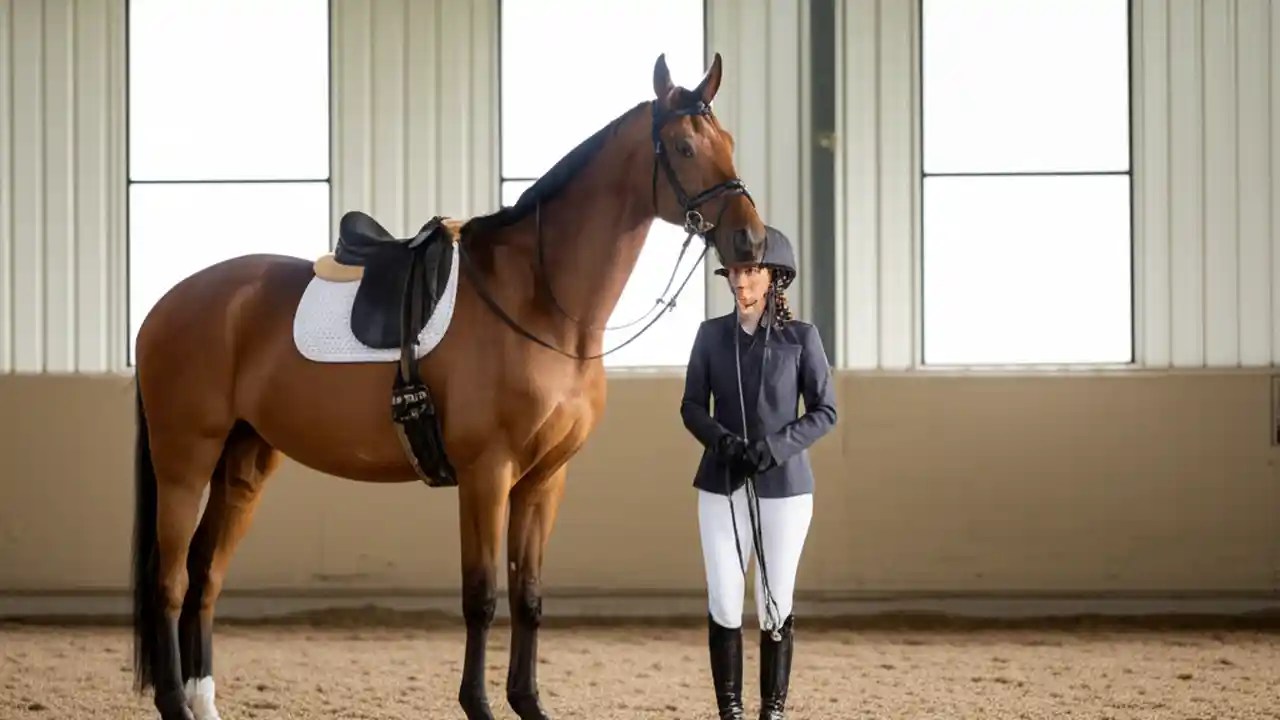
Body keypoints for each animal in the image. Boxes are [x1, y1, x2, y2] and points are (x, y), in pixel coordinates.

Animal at [129, 52, 767, 720]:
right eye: (683, 147)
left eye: (726, 141)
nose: (750, 241)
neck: (541, 303)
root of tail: (166, 307)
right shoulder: (487, 473)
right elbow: (481, 595)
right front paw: (479, 704)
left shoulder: (544, 480)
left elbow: (528, 595)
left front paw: (528, 702)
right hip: (184, 460)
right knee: (170, 580)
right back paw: (174, 702)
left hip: (243, 462)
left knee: (205, 576)